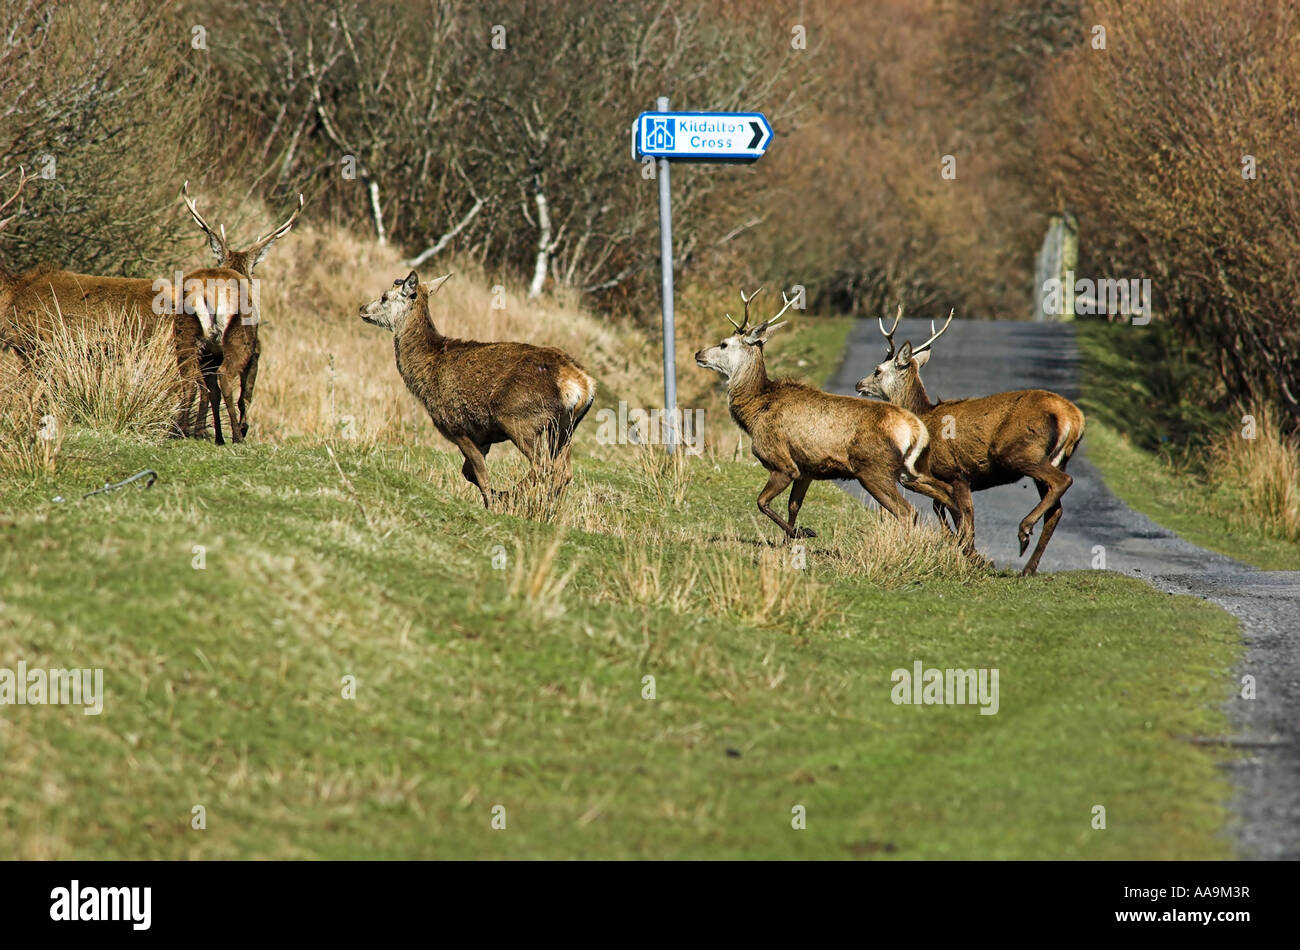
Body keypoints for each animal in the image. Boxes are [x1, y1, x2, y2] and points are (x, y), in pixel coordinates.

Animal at [359, 270, 597, 507]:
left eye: (384, 296)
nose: (362, 308)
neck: (427, 372)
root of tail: (583, 384)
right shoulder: (483, 436)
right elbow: (468, 472)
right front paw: (492, 497)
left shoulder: (456, 424)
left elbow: (480, 474)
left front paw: (492, 502)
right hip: (566, 427)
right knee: (564, 472)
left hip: (519, 419)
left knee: (544, 466)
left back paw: (511, 497)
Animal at [694, 288, 960, 540]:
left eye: (724, 343)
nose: (698, 353)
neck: (755, 410)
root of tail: (915, 428)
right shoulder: (806, 470)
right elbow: (793, 507)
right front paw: (789, 542)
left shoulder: (782, 462)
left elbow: (762, 502)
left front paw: (804, 532)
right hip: (912, 470)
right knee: (947, 494)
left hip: (875, 469)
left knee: (907, 511)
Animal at [855, 307, 1086, 575]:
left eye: (878, 370)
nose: (858, 384)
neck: (924, 417)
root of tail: (1073, 418)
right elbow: (942, 508)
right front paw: (958, 545)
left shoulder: (956, 471)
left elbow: (963, 513)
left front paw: (971, 554)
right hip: (1056, 458)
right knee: (1056, 510)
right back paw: (1028, 568)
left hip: (1019, 451)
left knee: (1063, 482)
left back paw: (1024, 532)